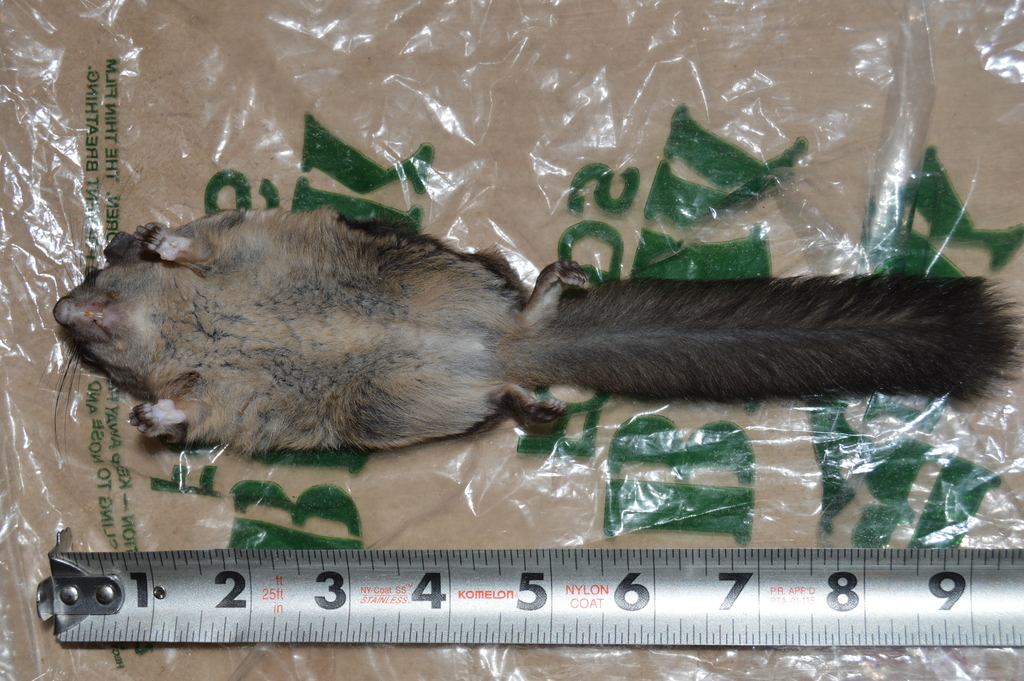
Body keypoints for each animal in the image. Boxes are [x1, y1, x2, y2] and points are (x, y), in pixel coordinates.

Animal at [52, 208, 1018, 453]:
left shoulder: (240, 248)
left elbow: (204, 247)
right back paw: (543, 377)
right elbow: (192, 405)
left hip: (458, 289)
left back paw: (551, 308)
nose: (63, 312)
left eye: (101, 261)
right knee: (515, 363)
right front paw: (150, 414)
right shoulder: (217, 394)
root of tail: (500, 351)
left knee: (516, 326)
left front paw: (168, 239)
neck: (179, 322)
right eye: (91, 353)